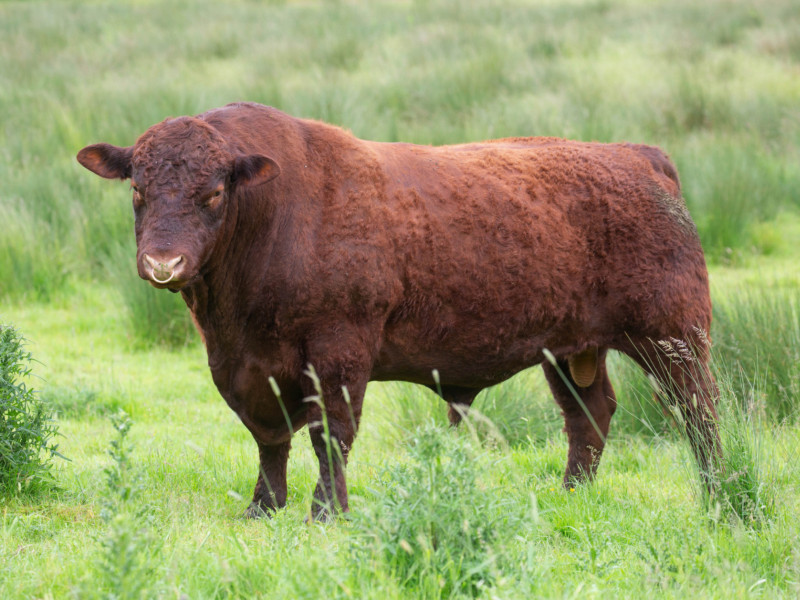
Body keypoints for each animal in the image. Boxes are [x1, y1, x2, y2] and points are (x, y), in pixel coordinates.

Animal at [77, 102, 720, 520]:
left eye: (212, 193)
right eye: (137, 189)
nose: (164, 262)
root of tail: (639, 157)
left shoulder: (337, 355)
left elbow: (330, 434)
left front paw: (325, 512)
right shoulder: (244, 367)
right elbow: (270, 439)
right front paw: (264, 508)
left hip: (674, 338)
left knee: (700, 412)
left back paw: (718, 492)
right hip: (570, 351)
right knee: (589, 415)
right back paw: (571, 496)